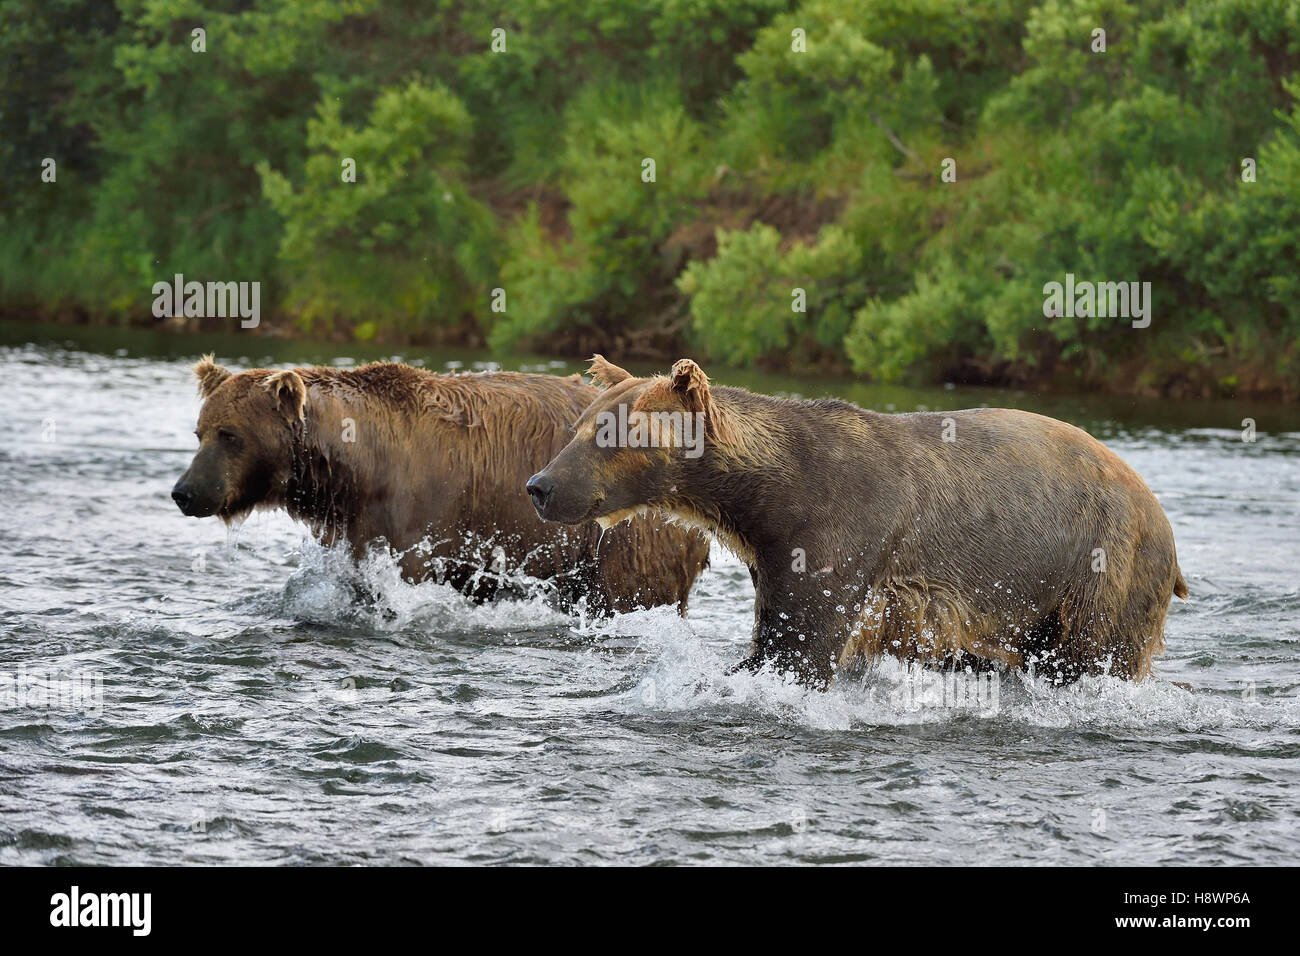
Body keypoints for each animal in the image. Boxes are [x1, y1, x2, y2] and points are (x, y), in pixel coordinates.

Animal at [172, 356, 709, 614]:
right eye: (200, 431)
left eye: (230, 434)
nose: (184, 491)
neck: (354, 470)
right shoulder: (353, 525)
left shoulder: (422, 518)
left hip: (624, 538)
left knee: (632, 593)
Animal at [526, 355, 1188, 687]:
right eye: (581, 423)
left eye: (609, 433)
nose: (540, 486)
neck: (765, 495)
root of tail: (1158, 510)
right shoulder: (772, 548)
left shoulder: (841, 529)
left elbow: (801, 642)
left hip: (1101, 560)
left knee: (1093, 654)